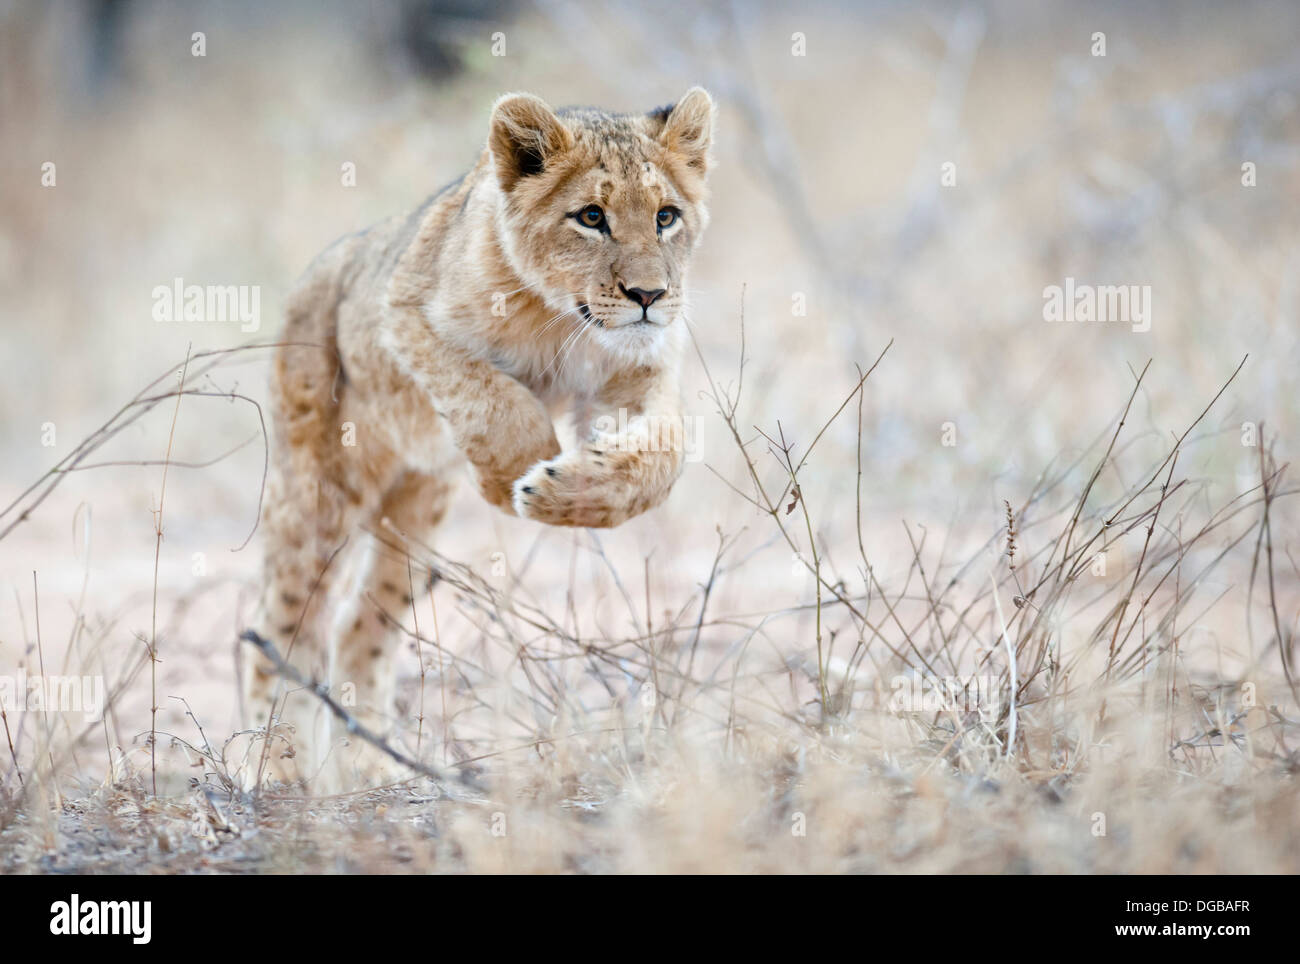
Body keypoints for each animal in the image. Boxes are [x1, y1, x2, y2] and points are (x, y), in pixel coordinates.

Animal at [240, 88, 715, 788]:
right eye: (591, 216)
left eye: (666, 216)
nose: (649, 295)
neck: (559, 316)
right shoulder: (405, 315)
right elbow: (494, 398)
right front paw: (515, 478)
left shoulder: (634, 376)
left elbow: (662, 456)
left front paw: (568, 492)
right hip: (319, 489)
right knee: (281, 623)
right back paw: (278, 771)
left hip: (417, 506)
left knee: (359, 624)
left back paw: (373, 769)